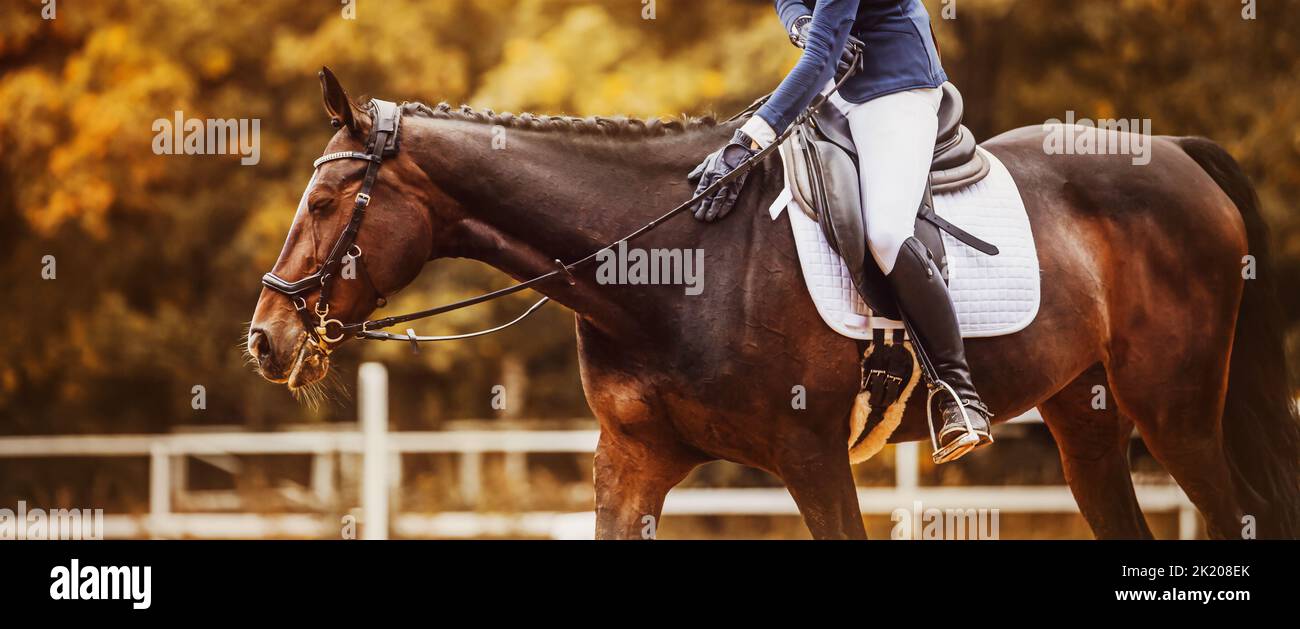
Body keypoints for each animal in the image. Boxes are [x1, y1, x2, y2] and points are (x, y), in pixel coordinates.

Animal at [247, 68, 1300, 539]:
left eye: (327, 204)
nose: (265, 339)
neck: (666, 266)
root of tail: (1175, 153)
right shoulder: (632, 459)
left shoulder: (812, 456)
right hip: (1086, 413)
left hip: (1176, 407)